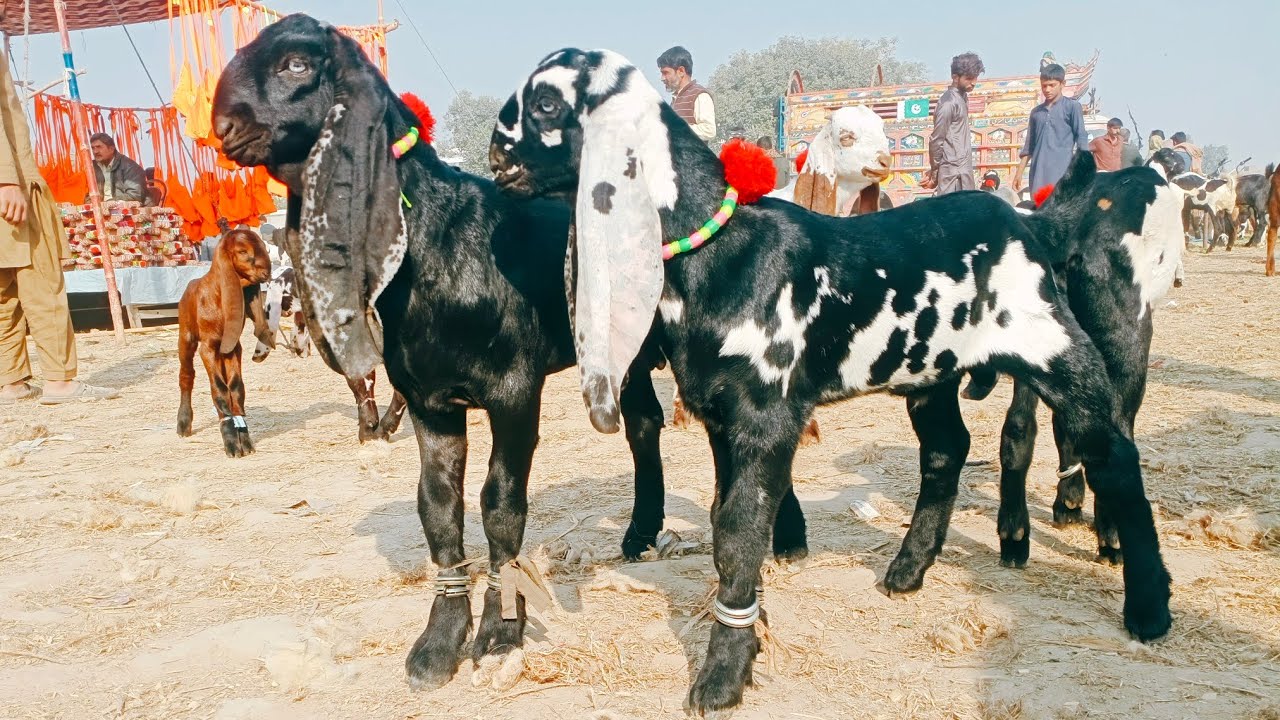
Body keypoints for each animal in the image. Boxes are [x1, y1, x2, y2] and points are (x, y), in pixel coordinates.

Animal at [176, 228, 274, 458]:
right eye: (242, 251)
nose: (266, 273)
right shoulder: (208, 348)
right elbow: (219, 388)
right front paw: (231, 442)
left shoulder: (233, 348)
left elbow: (236, 387)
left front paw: (244, 440)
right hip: (186, 337)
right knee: (186, 375)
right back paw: (183, 423)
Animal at [491, 49, 1173, 714]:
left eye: (546, 102)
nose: (497, 157)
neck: (722, 252)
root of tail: (1030, 225)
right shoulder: (721, 411)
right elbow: (724, 517)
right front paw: (748, 637)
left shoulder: (765, 413)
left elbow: (739, 531)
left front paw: (722, 675)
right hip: (932, 370)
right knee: (947, 450)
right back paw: (908, 570)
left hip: (1056, 347)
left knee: (1115, 450)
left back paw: (1147, 604)